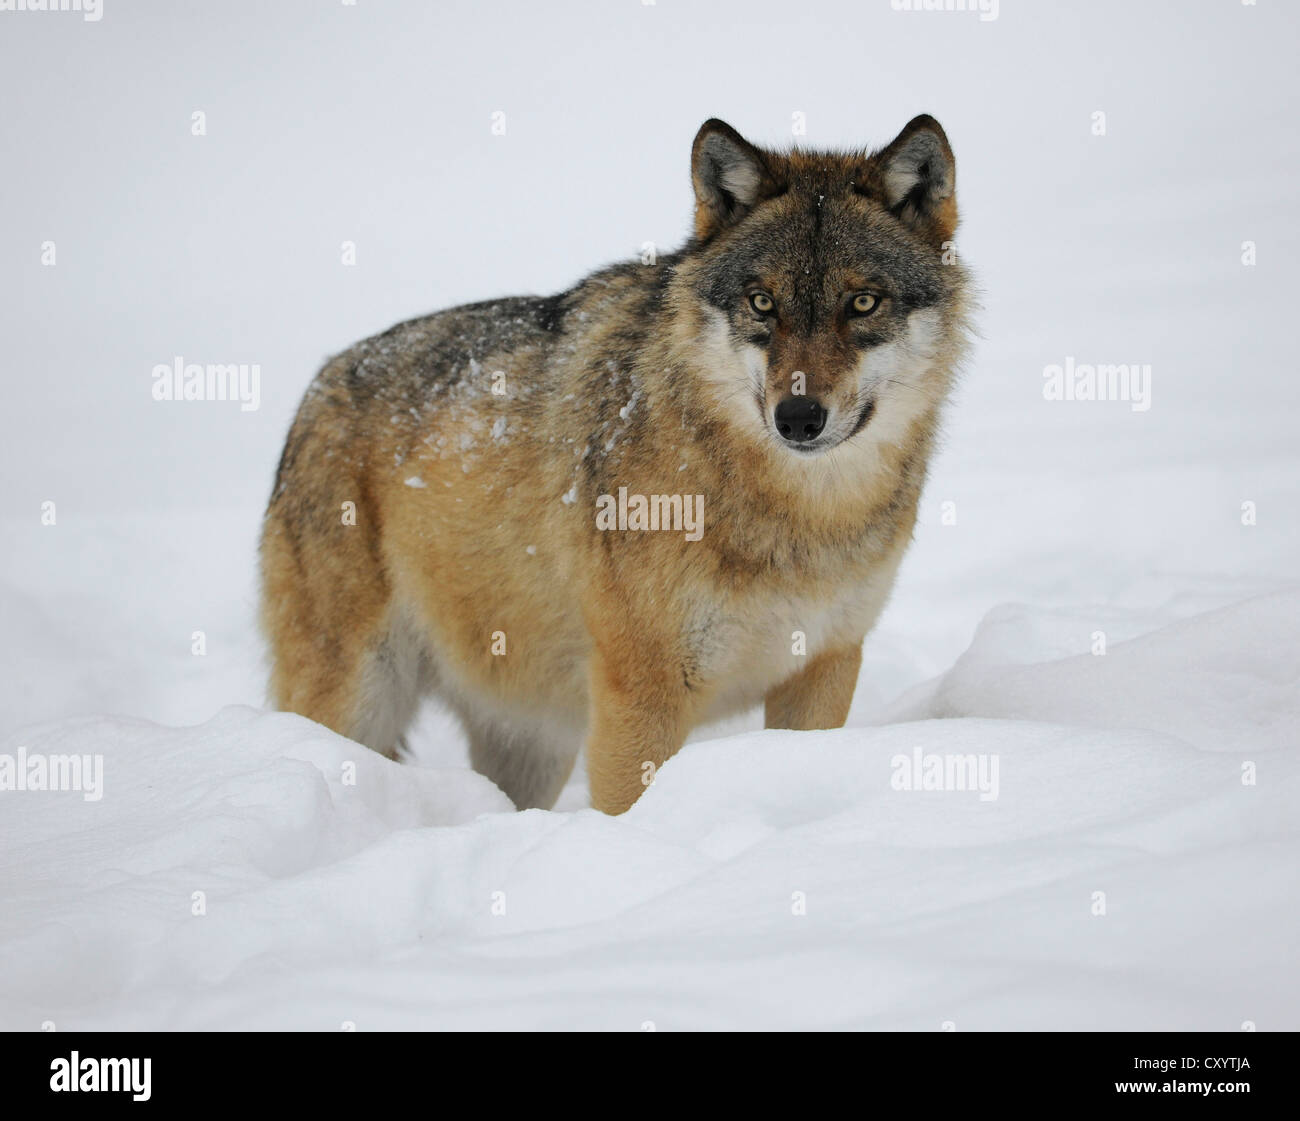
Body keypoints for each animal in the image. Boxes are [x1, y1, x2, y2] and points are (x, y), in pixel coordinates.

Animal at [260, 115, 971, 814]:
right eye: (762, 303)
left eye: (863, 303)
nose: (797, 418)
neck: (800, 518)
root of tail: (318, 385)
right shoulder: (642, 693)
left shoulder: (824, 668)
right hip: (360, 699)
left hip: (530, 742)